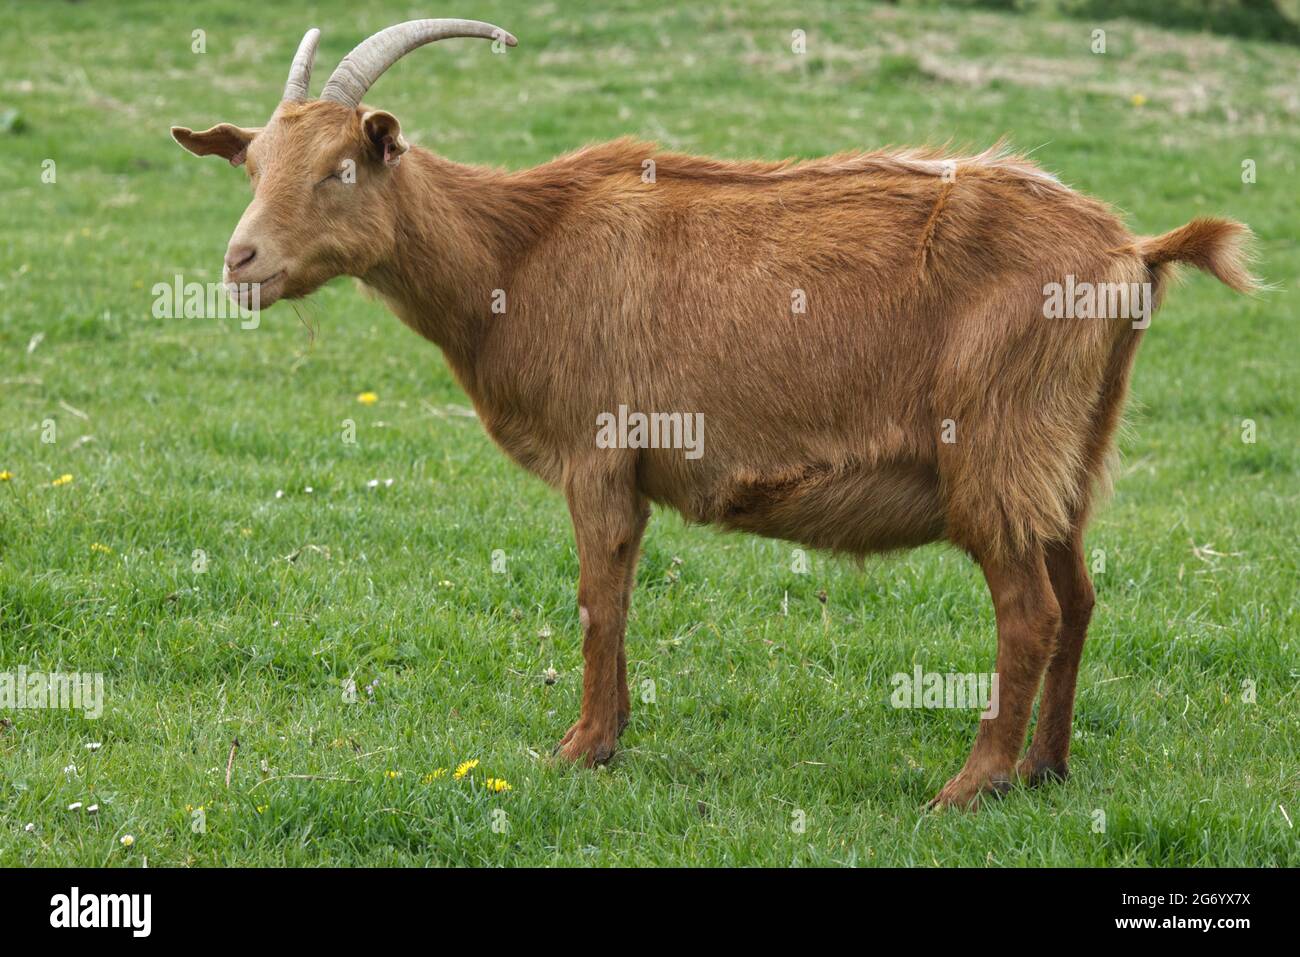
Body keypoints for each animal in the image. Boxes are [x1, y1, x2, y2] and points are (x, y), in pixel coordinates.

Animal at [172, 20, 1257, 809]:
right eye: (252, 165)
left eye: (341, 168)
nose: (240, 261)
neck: (518, 250)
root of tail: (1132, 251)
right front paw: (605, 740)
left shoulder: (599, 454)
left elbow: (598, 599)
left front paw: (581, 748)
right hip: (1067, 457)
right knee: (1079, 597)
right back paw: (1044, 771)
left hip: (995, 447)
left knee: (1028, 610)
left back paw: (968, 786)